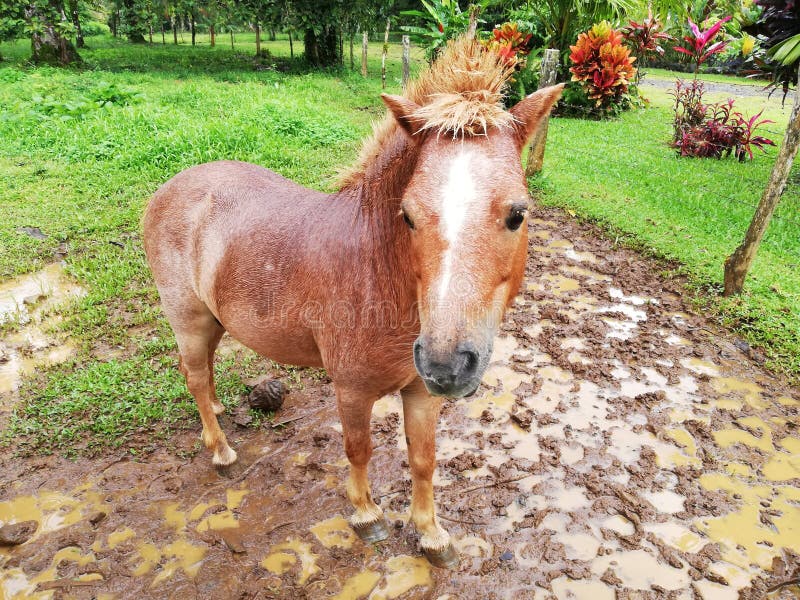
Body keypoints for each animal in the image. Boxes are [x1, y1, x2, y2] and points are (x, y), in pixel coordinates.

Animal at [143, 37, 562, 568]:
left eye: (517, 214)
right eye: (408, 214)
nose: (447, 363)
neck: (379, 276)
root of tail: (171, 187)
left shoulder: (422, 394)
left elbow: (423, 461)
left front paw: (431, 534)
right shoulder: (351, 390)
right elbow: (358, 449)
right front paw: (367, 516)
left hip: (216, 320)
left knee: (204, 372)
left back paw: (216, 412)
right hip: (189, 318)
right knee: (195, 375)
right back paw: (220, 450)